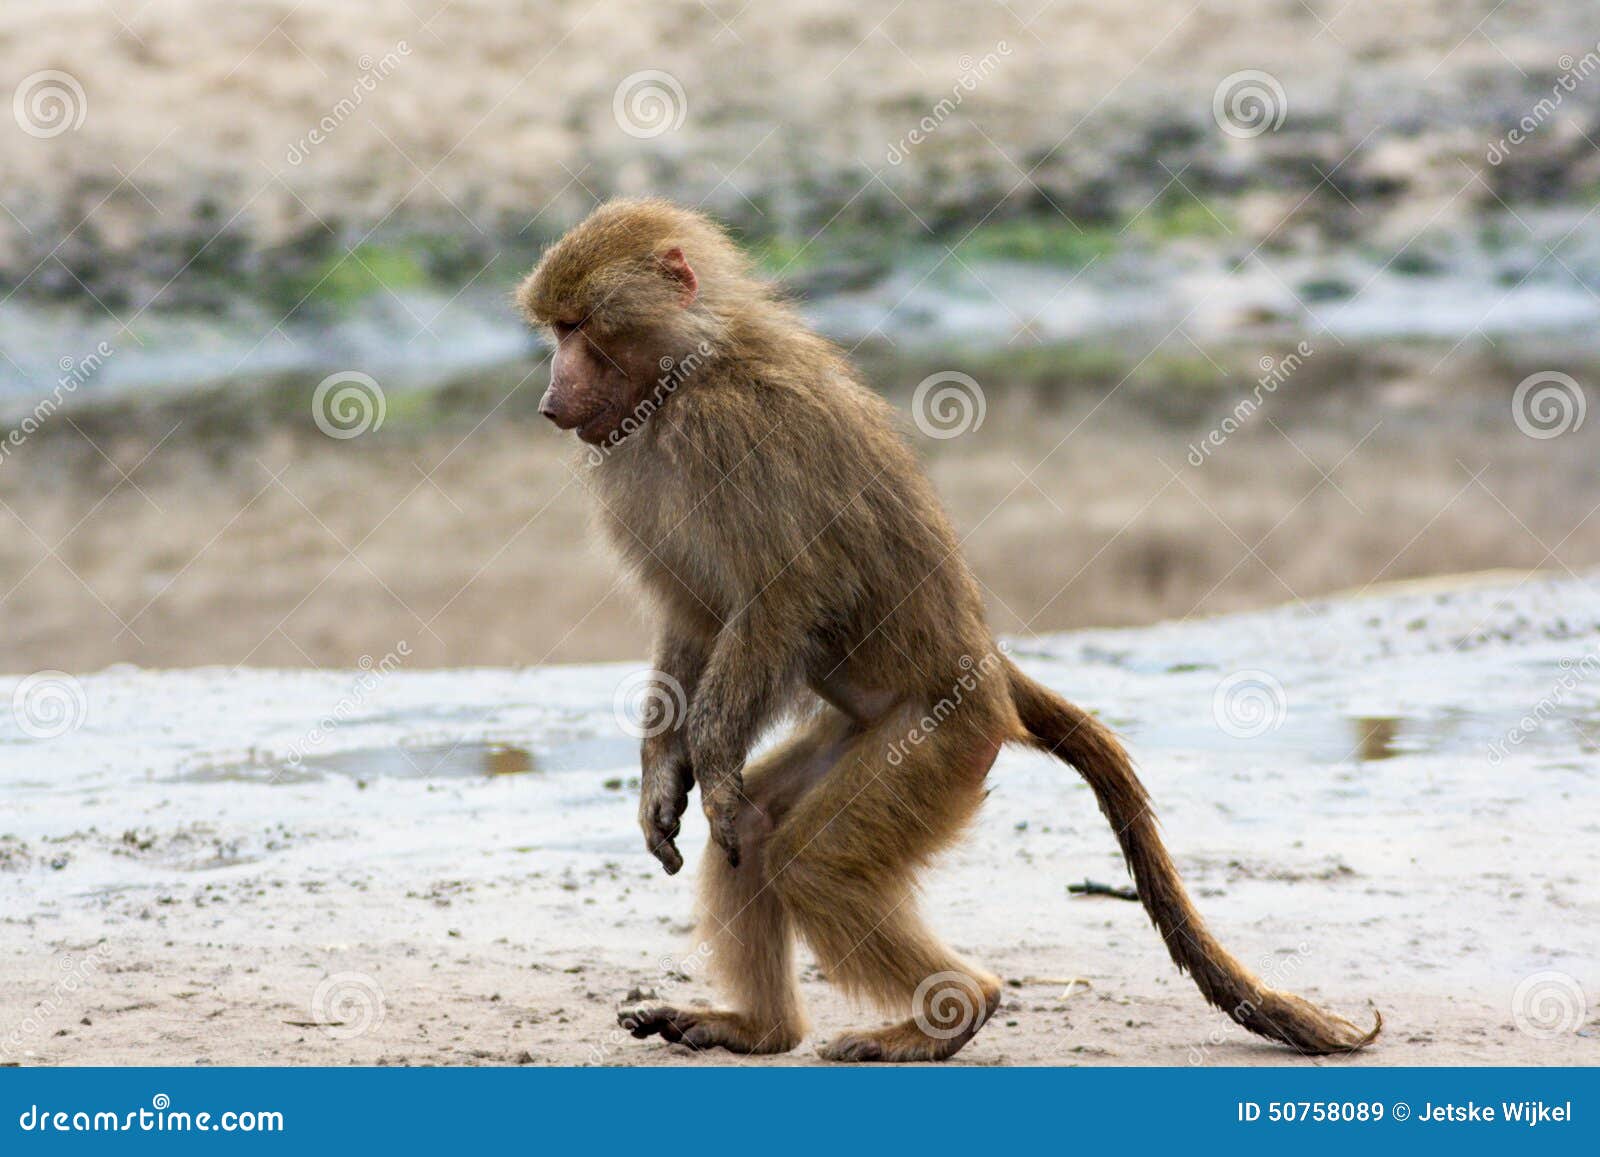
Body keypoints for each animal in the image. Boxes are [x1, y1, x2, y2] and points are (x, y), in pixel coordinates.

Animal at [516, 198, 1381, 1062]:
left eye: (579, 326)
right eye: (556, 330)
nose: (549, 405)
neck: (691, 372)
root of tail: (986, 663)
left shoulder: (729, 433)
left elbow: (780, 598)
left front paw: (714, 767)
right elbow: (696, 618)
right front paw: (664, 779)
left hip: (941, 740)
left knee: (811, 861)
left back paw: (955, 1009)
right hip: (882, 734)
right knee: (767, 834)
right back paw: (760, 1028)